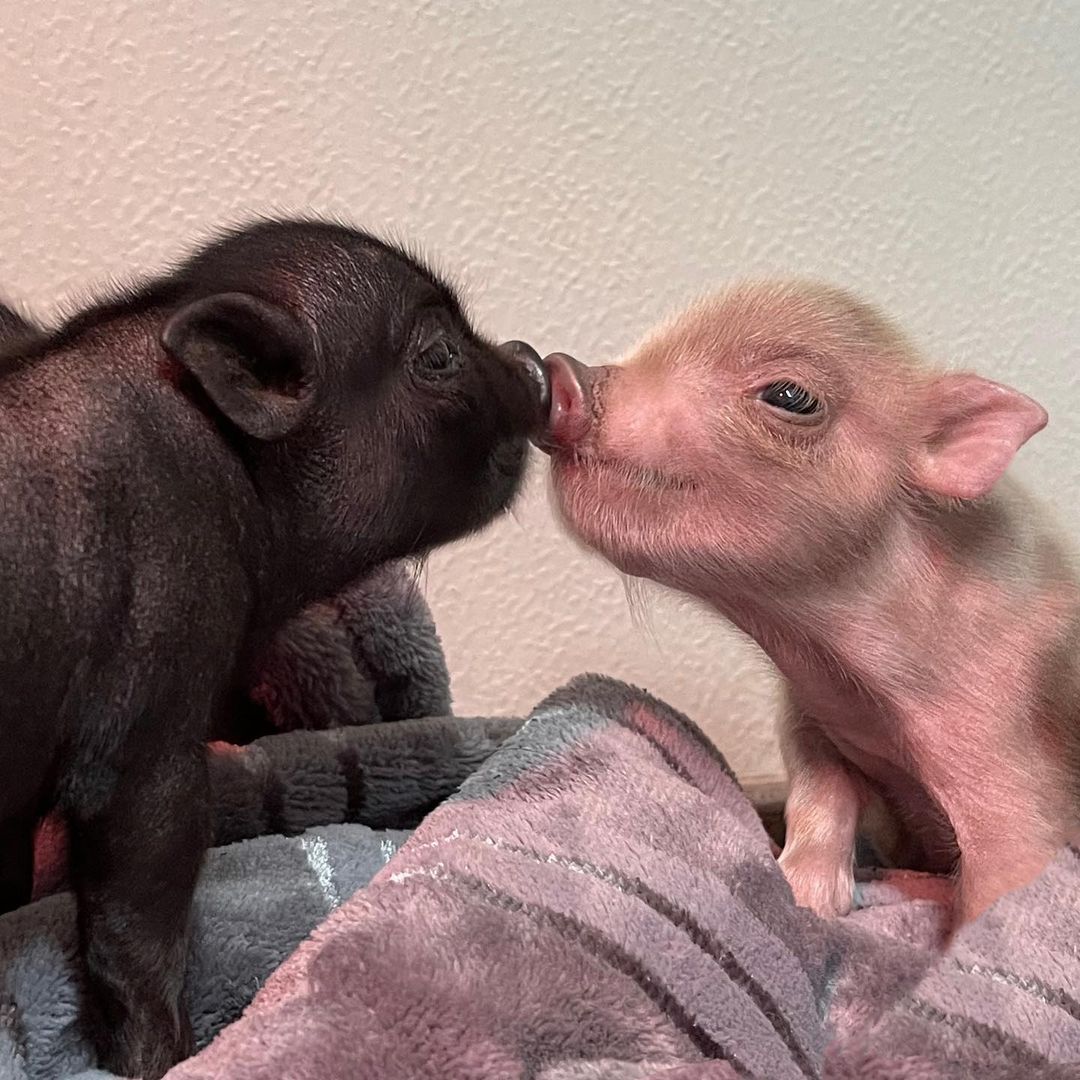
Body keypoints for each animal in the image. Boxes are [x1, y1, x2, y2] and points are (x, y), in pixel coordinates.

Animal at [0, 220, 547, 1078]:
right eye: (437, 354)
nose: (531, 359)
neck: (232, 467)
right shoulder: (146, 744)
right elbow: (139, 928)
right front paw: (170, 1057)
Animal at [536, 280, 1078, 935]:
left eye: (791, 396)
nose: (561, 371)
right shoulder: (806, 719)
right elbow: (819, 793)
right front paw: (804, 898)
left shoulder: (1011, 758)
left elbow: (1009, 882)